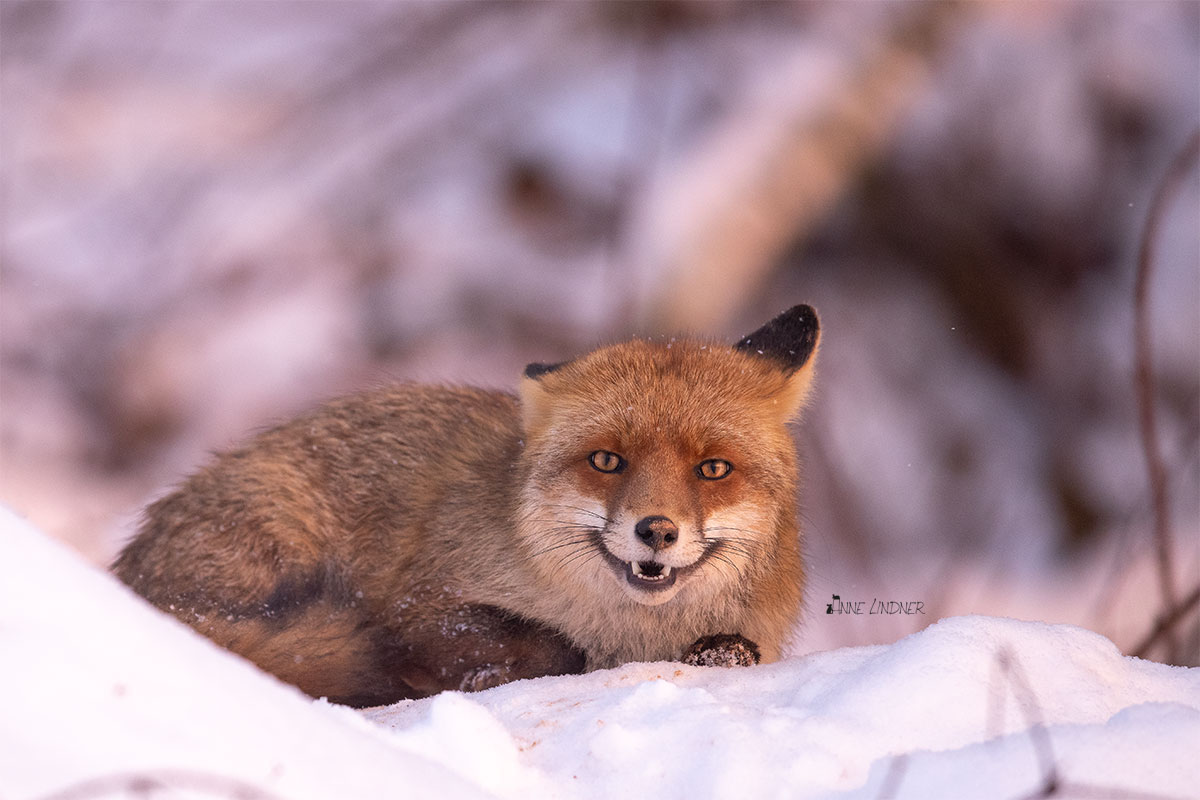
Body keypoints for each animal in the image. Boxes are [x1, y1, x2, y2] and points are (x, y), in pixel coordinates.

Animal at [113, 304, 820, 707]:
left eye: (714, 469)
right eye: (607, 461)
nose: (657, 531)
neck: (632, 633)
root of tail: (127, 577)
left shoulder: (754, 635)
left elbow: (736, 650)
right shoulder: (420, 601)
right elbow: (551, 647)